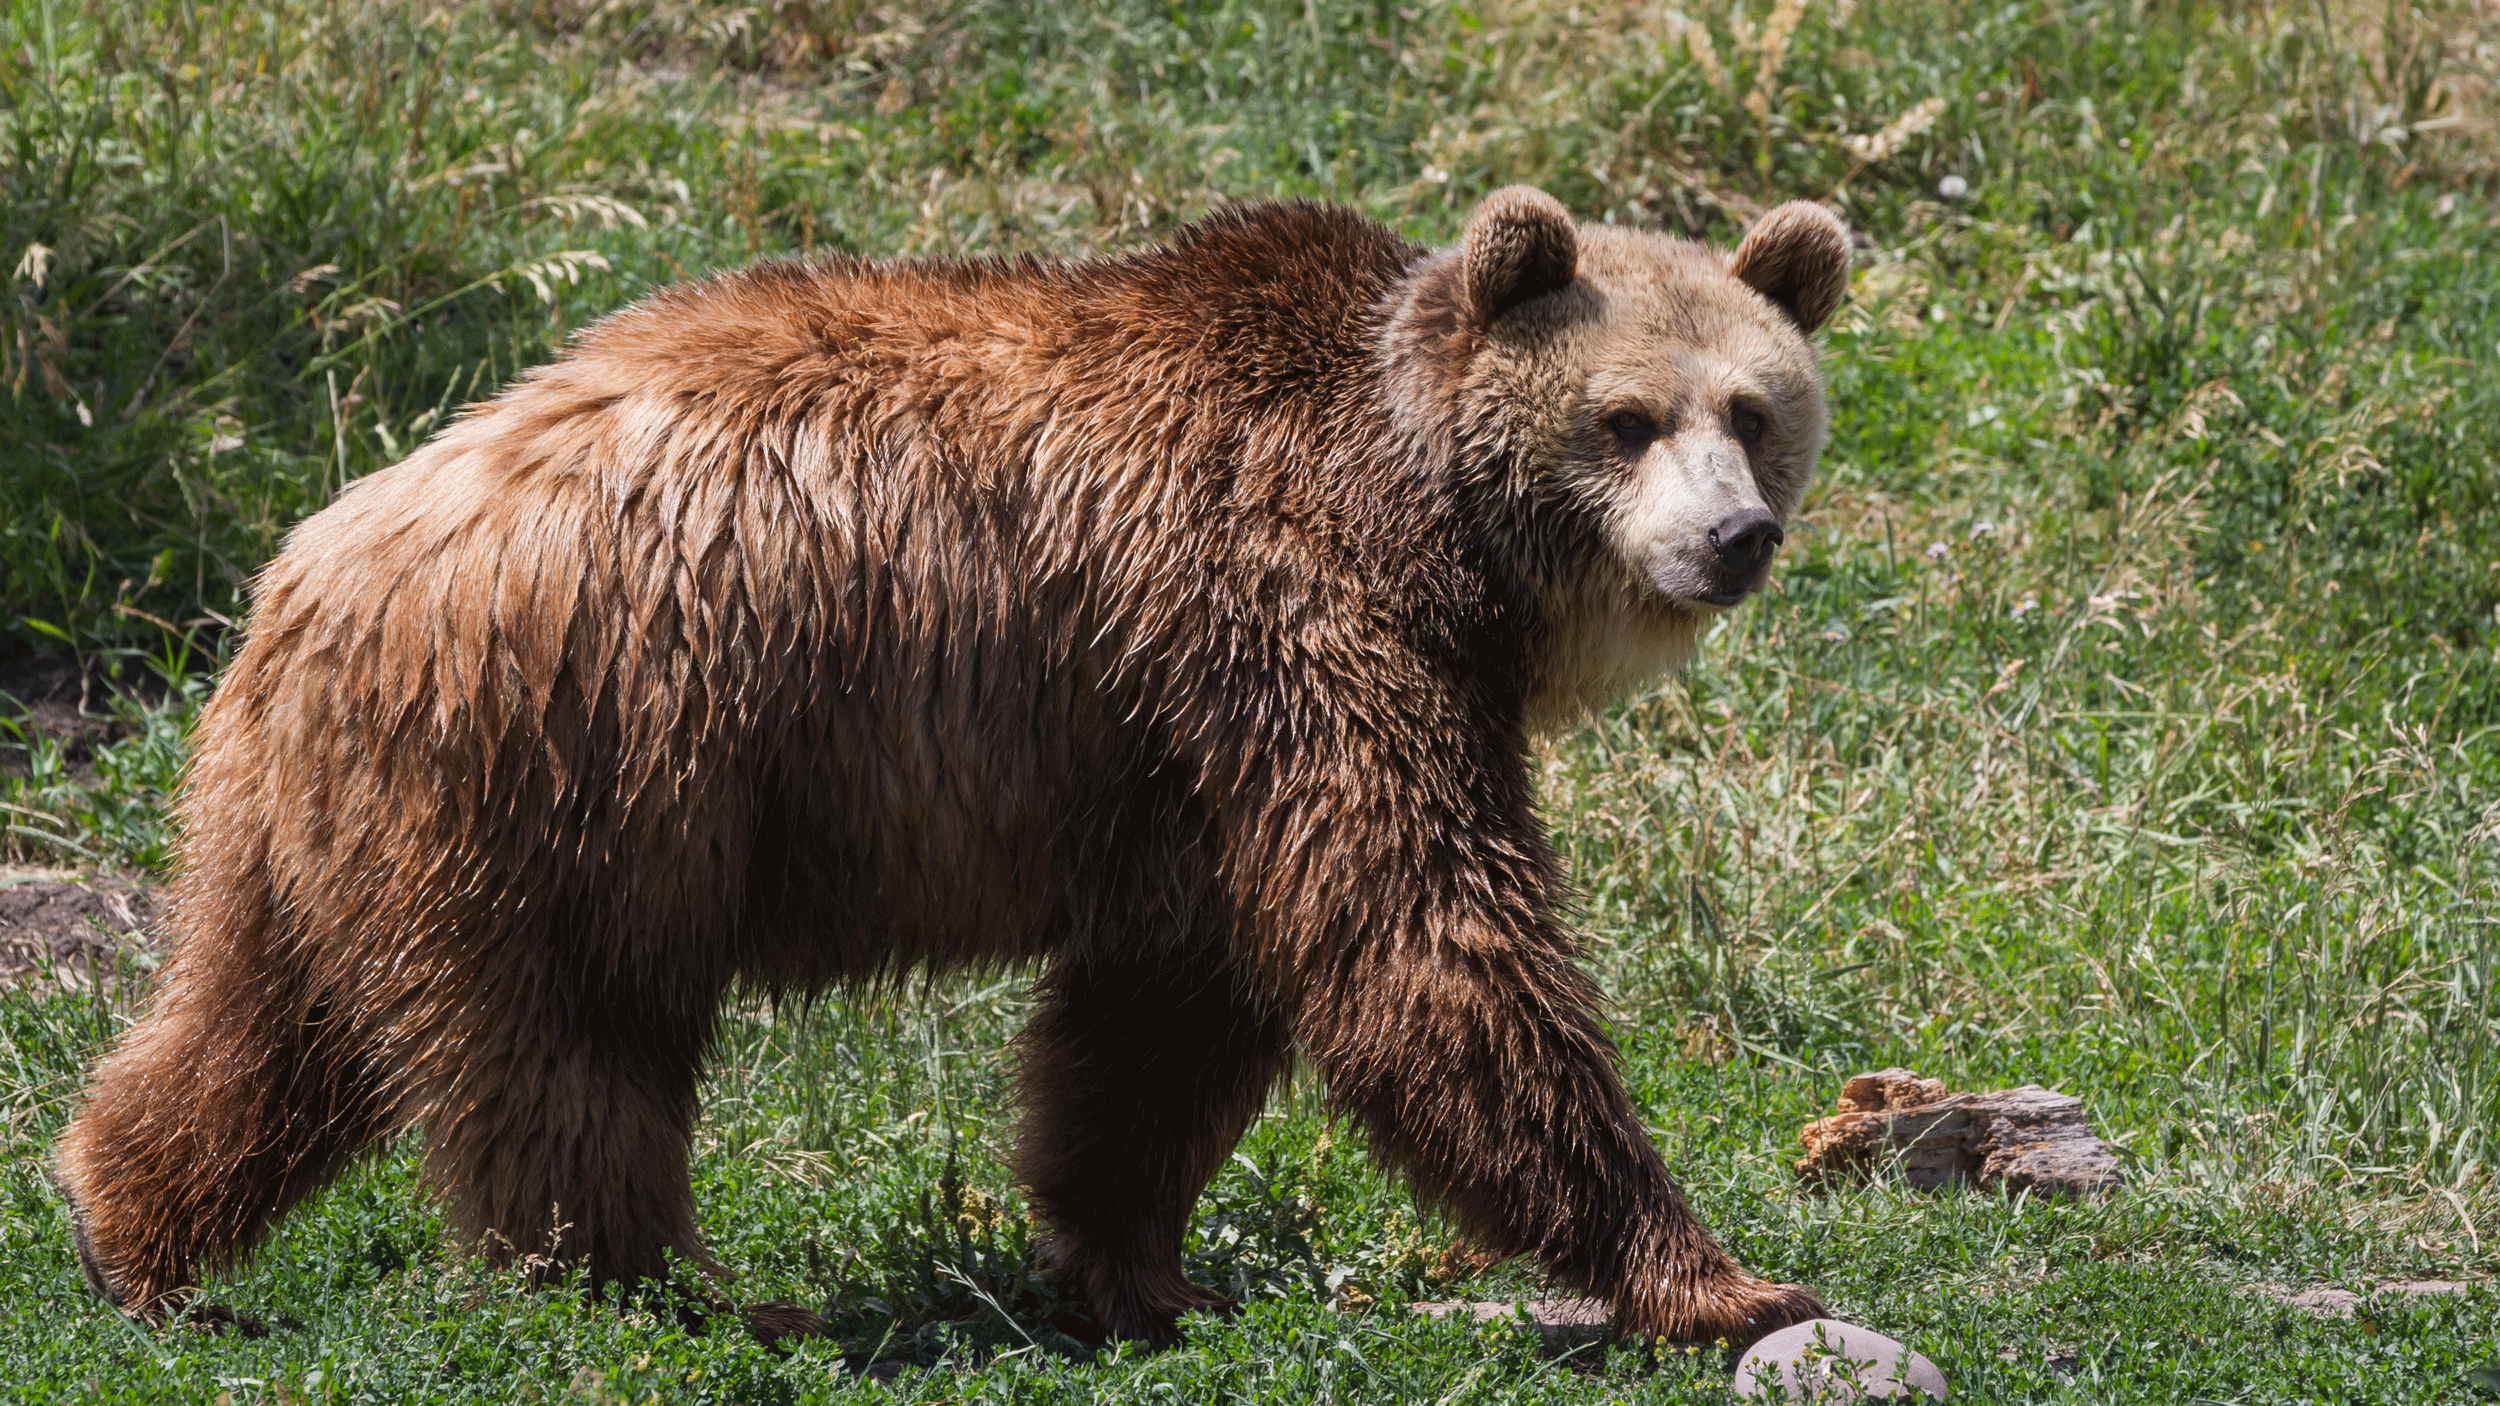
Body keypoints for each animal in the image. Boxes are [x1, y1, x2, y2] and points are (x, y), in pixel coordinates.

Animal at [55, 186, 1852, 1349]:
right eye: (1626, 419)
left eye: (1756, 413)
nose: (1733, 539)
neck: (1425, 516)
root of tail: (312, 568)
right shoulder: (1293, 616)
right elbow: (1428, 941)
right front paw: (1719, 1275)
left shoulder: (1180, 740)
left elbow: (1166, 1013)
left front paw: (1142, 1262)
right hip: (590, 754)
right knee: (580, 1046)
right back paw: (666, 1285)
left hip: (327, 808)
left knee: (264, 1022)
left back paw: (126, 1225)